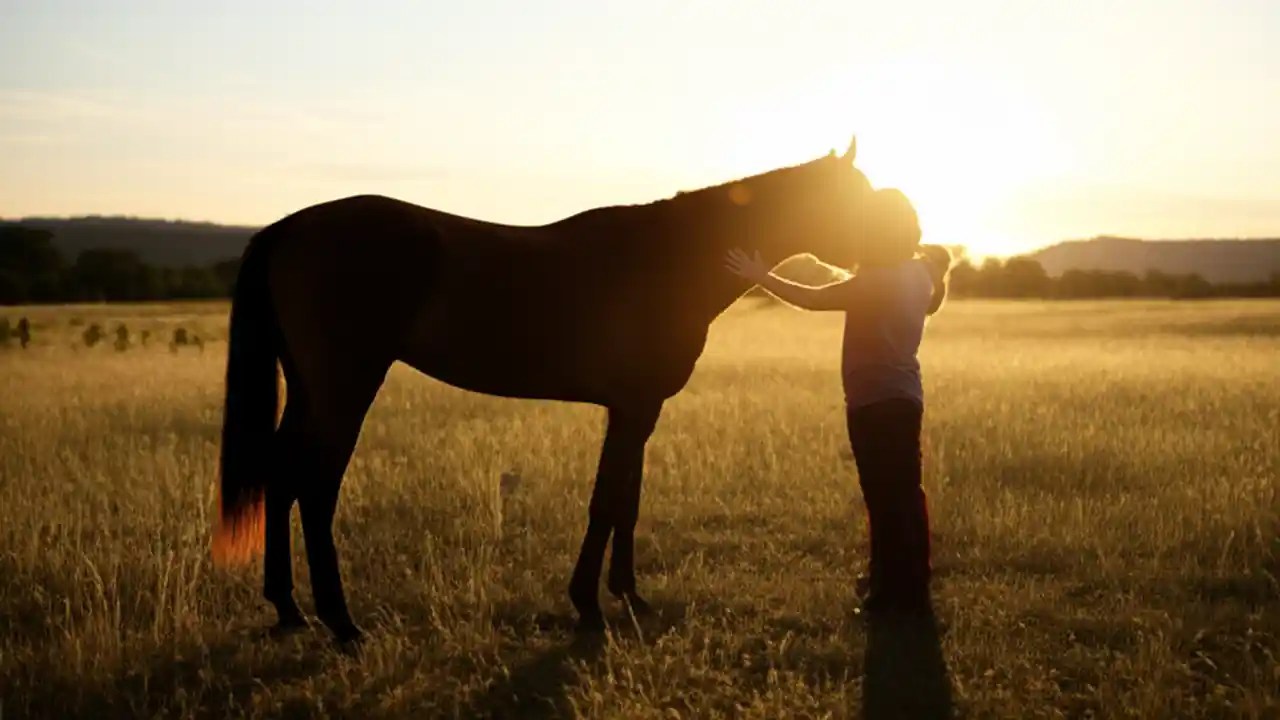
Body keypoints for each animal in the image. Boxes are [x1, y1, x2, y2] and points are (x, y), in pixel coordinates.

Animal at [214, 136, 889, 644]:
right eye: (852, 197)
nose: (896, 246)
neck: (669, 258)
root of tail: (287, 229)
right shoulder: (632, 406)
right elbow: (606, 501)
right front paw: (588, 605)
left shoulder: (635, 409)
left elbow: (626, 500)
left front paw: (630, 597)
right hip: (345, 388)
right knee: (315, 486)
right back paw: (342, 622)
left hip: (308, 390)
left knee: (280, 476)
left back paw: (289, 609)